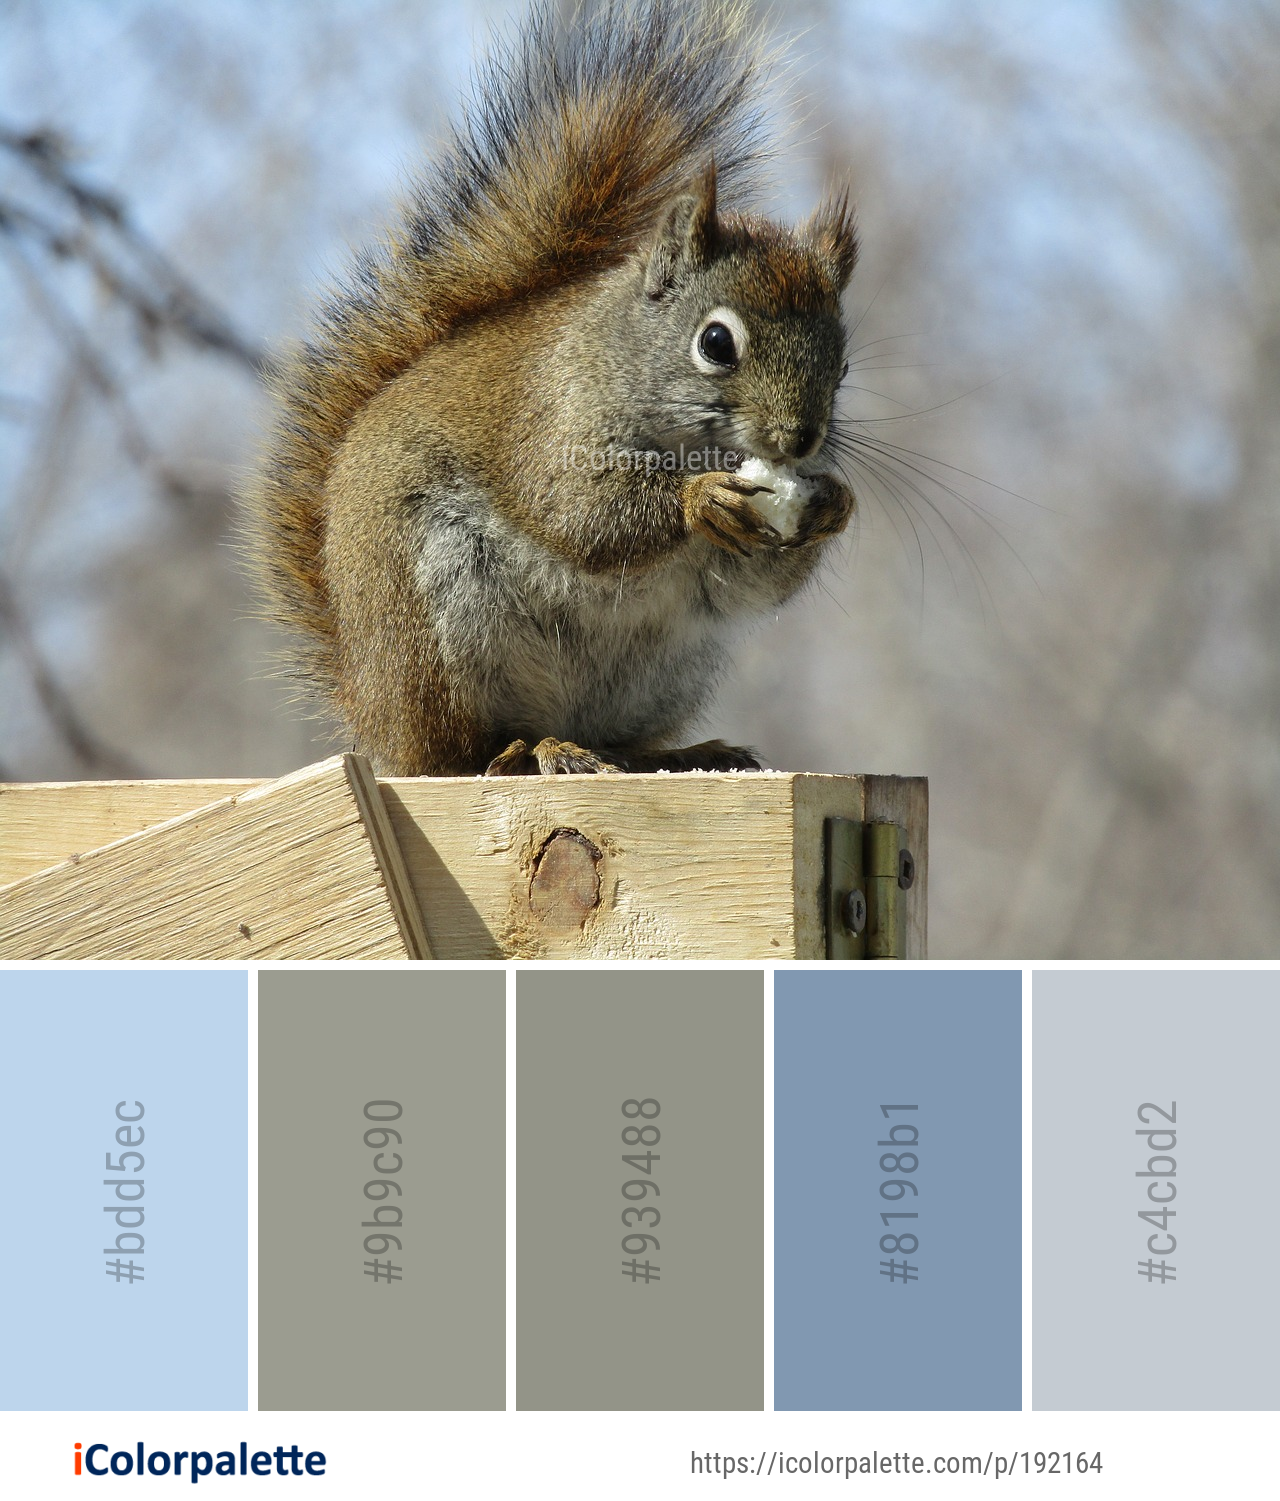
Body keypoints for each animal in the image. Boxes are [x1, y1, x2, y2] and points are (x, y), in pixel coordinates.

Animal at [242, 0, 858, 777]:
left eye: (844, 364)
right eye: (716, 343)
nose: (799, 439)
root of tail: (377, 715)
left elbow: (756, 585)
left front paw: (834, 503)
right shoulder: (550, 421)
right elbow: (580, 514)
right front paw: (700, 496)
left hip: (663, 672)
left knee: (619, 740)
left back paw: (675, 753)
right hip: (442, 631)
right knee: (465, 752)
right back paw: (530, 750)